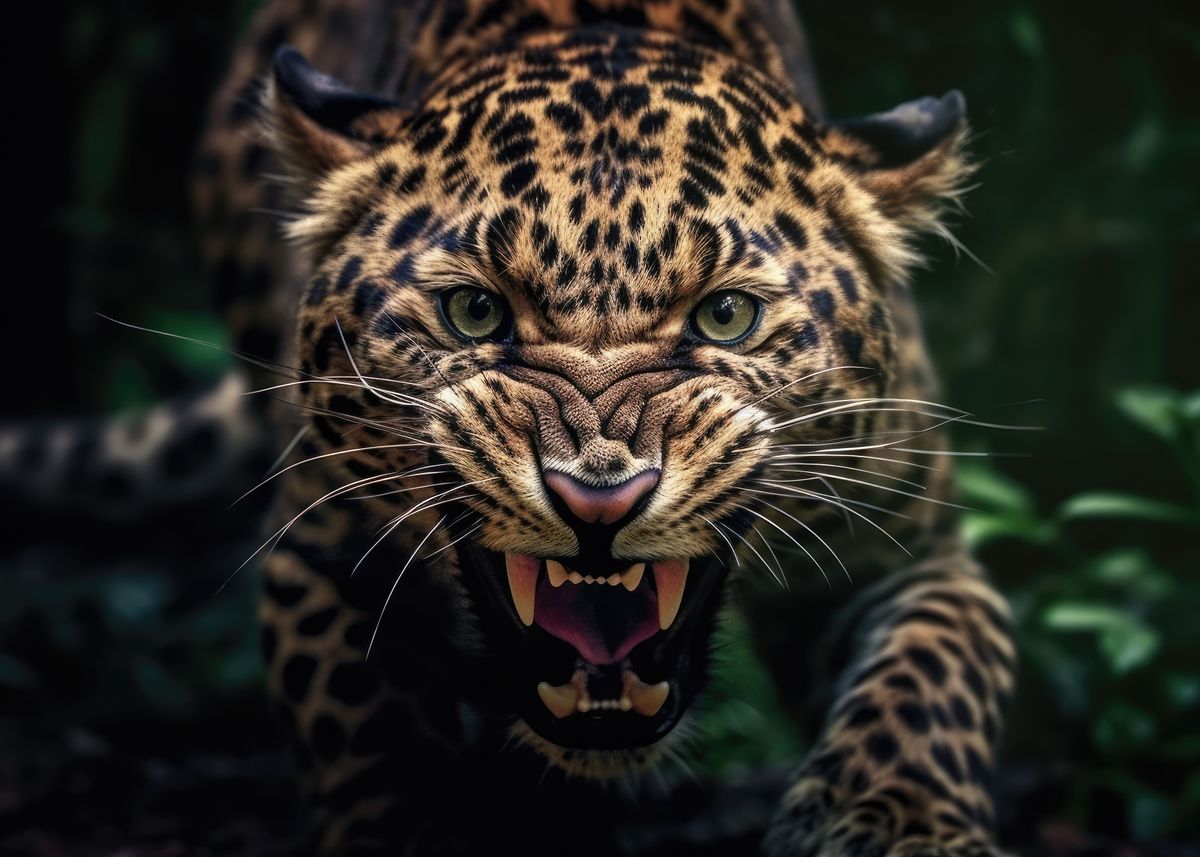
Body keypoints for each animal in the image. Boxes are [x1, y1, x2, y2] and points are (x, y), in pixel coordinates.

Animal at [5, 1, 1018, 854]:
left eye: (726, 316)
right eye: (473, 313)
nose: (598, 499)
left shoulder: (913, 550)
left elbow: (929, 685)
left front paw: (895, 827)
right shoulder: (319, 552)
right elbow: (368, 739)